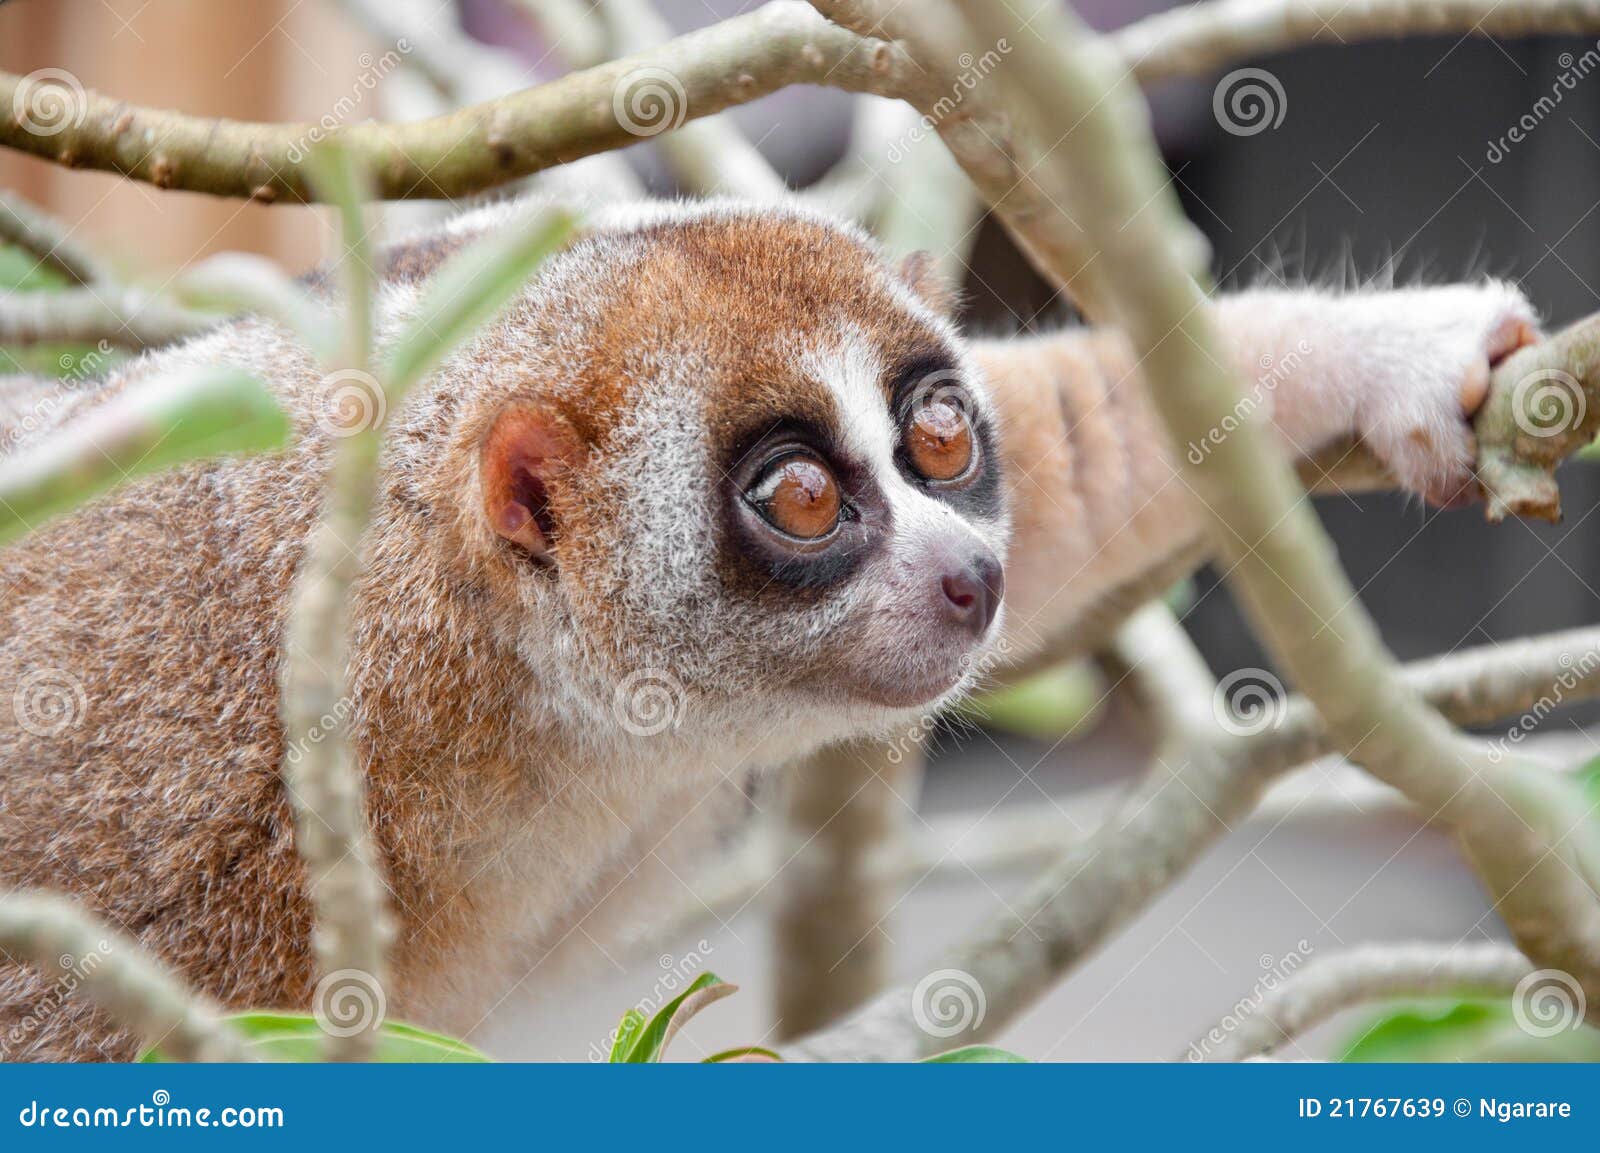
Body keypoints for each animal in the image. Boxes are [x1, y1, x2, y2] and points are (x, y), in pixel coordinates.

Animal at [0, 197, 1538, 1060]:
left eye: (940, 436)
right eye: (800, 498)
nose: (970, 575)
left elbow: (1080, 451)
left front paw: (1390, 349)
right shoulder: (179, 800)